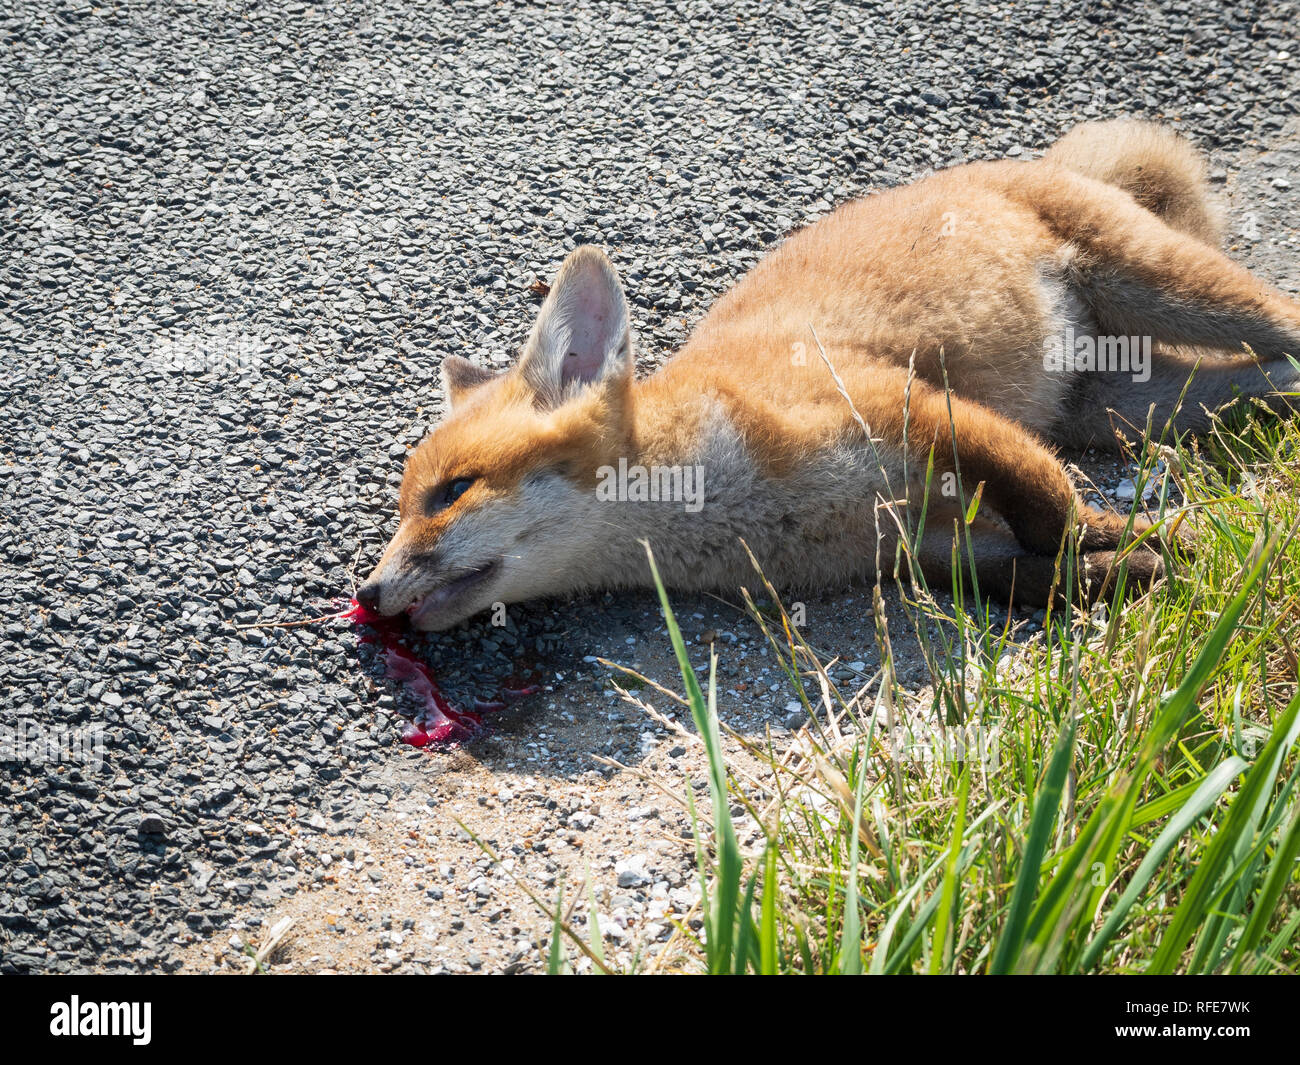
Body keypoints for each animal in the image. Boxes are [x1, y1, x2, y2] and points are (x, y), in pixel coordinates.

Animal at [357, 119, 1300, 631]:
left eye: (452, 491)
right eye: (403, 507)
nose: (367, 591)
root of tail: (1041, 159)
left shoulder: (917, 409)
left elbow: (1050, 506)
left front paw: (1131, 536)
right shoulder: (922, 546)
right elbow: (1040, 573)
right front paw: (1134, 560)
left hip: (1174, 295)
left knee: (1283, 327)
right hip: (1136, 406)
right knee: (1269, 380)